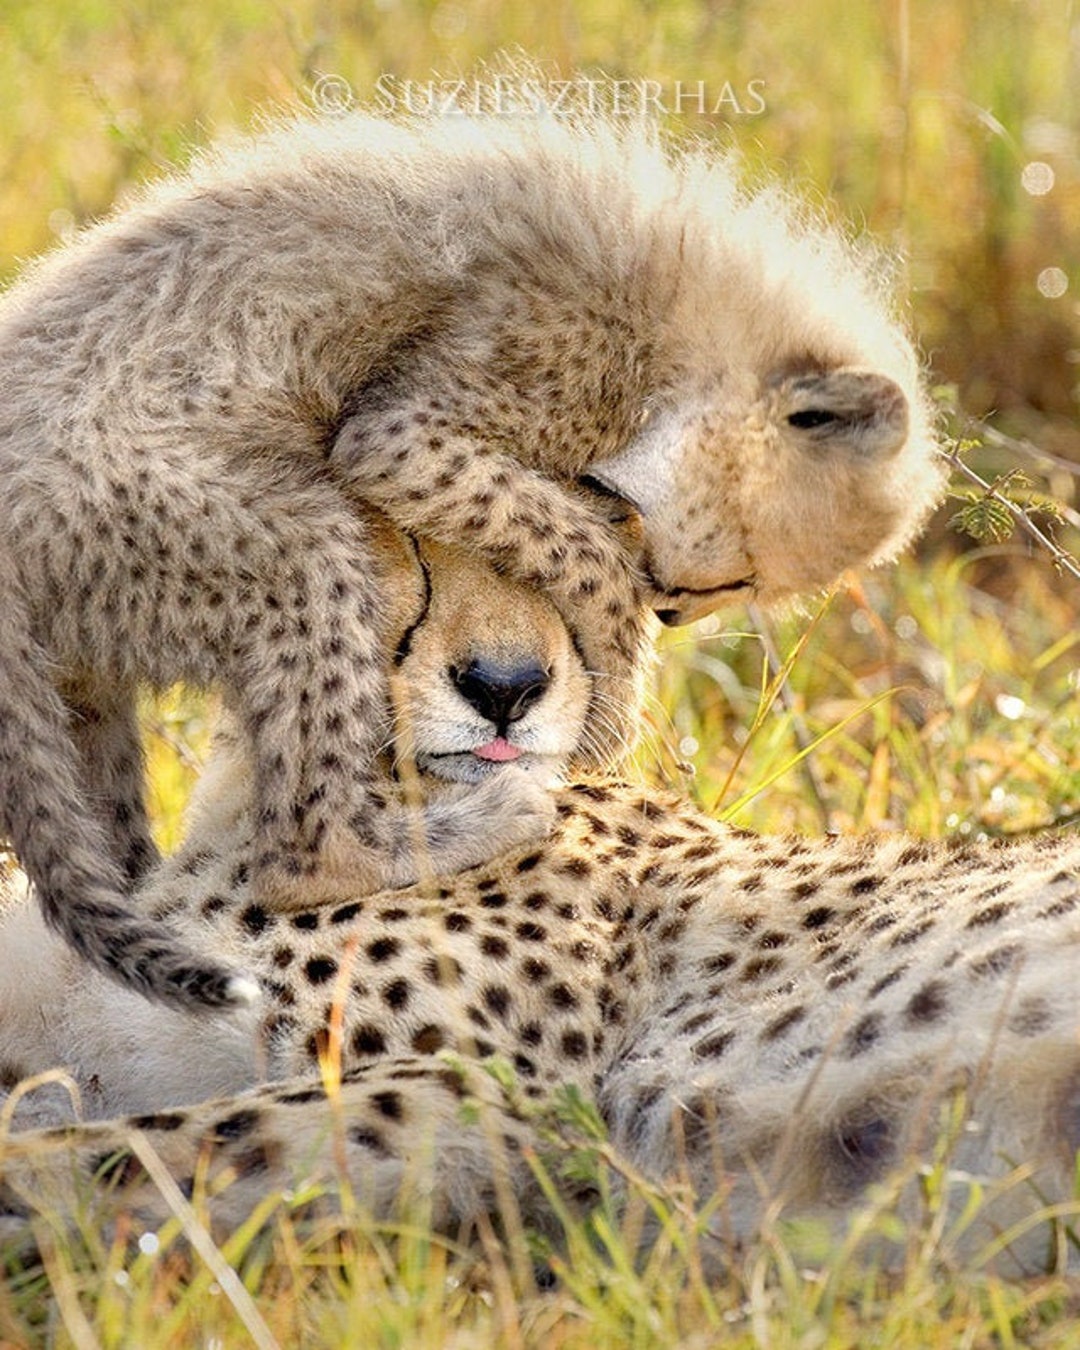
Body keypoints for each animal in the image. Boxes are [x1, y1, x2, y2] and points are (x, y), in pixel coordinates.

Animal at [0, 74, 946, 1014]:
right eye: (738, 576)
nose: (676, 605)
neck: (691, 307)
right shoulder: (415, 426)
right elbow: (572, 542)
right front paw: (616, 677)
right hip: (273, 548)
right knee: (297, 856)